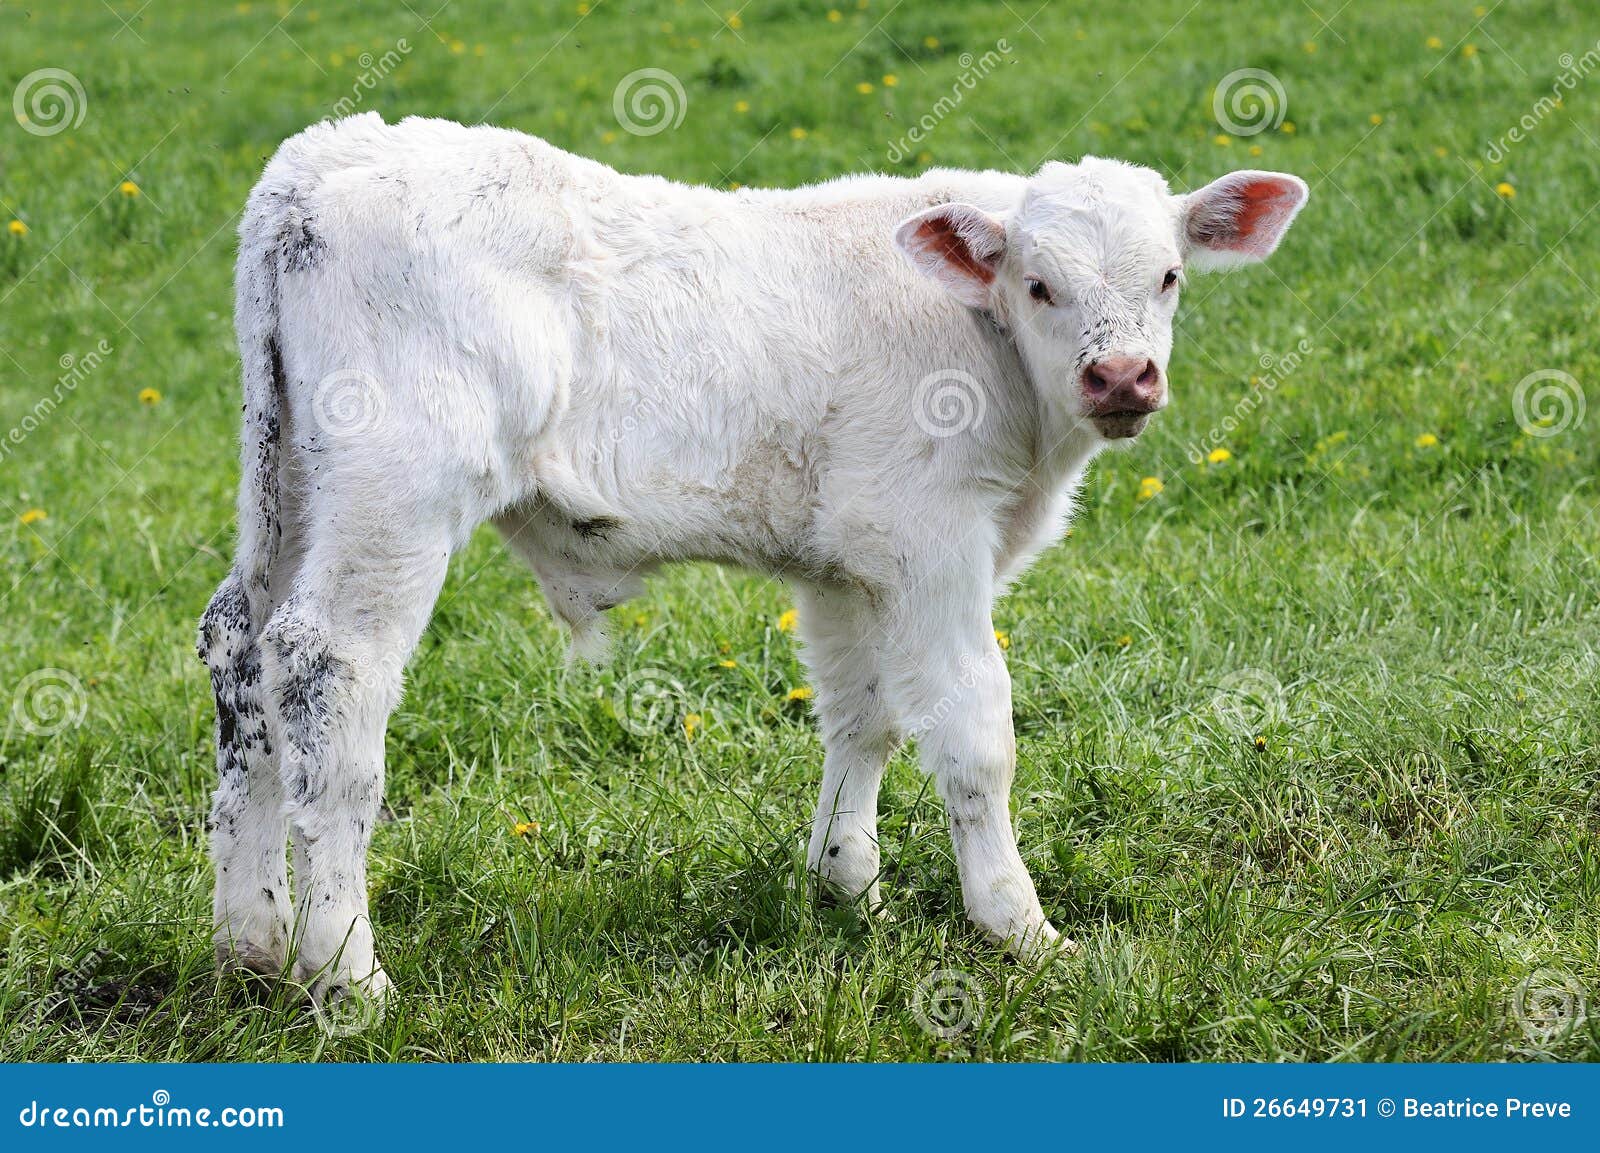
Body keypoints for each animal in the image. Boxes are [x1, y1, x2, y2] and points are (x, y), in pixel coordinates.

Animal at [198, 112, 1307, 1019]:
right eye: (1039, 285)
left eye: (1167, 276)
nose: (1122, 376)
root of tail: (315, 162)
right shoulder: (934, 541)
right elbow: (972, 725)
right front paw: (1018, 926)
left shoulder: (849, 564)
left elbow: (863, 716)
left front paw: (846, 889)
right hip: (398, 491)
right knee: (327, 669)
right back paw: (348, 973)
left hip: (290, 487)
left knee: (239, 649)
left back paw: (253, 942)